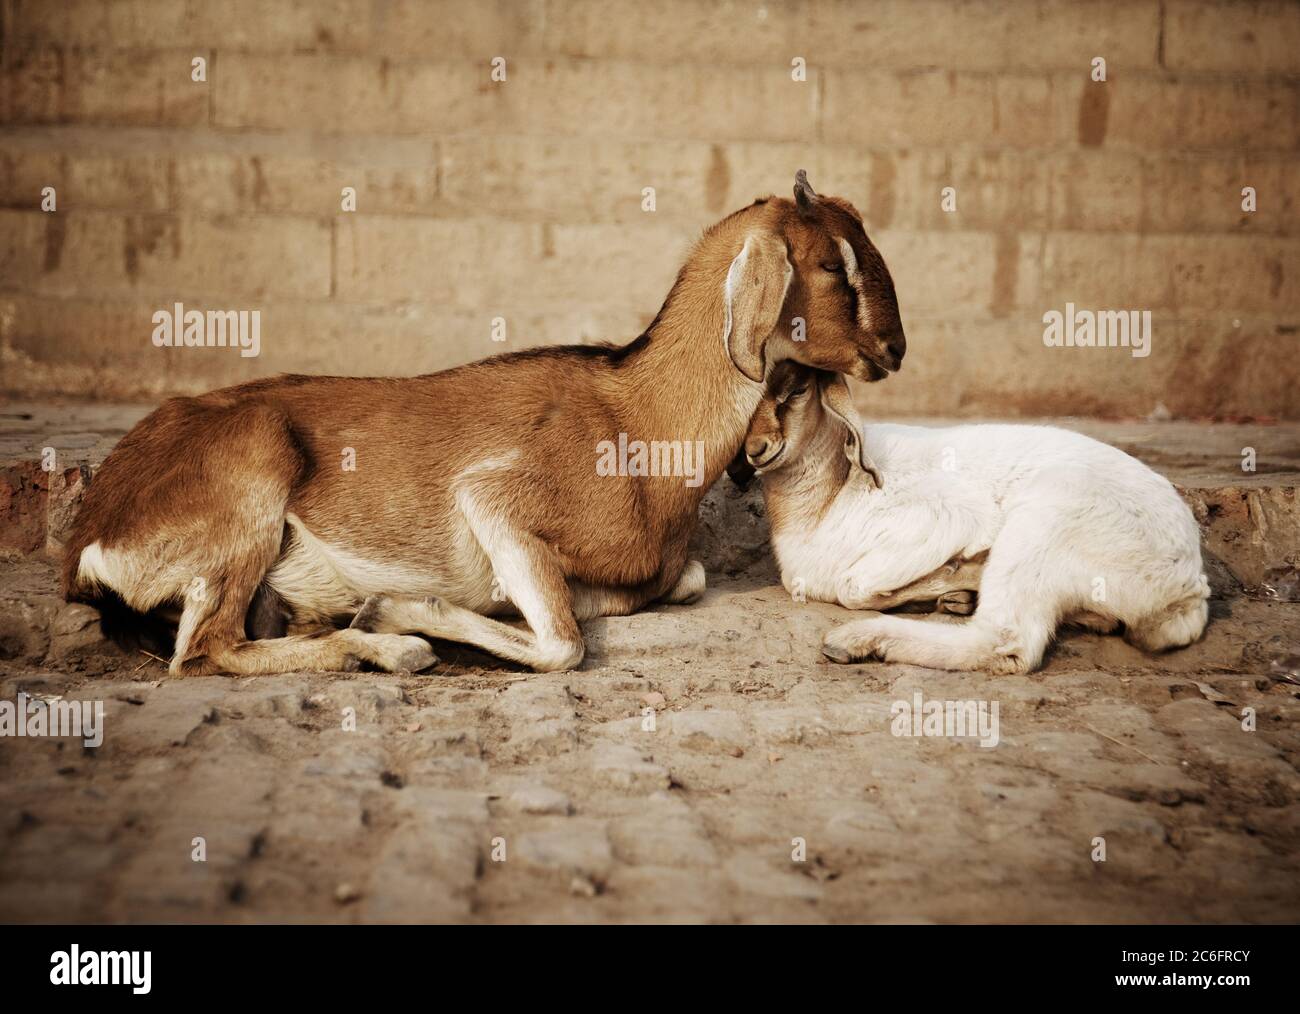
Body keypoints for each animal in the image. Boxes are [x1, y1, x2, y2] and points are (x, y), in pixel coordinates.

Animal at [63, 173, 907, 676]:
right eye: (832, 264)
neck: (639, 417)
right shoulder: (494, 498)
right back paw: (392, 647)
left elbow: (681, 581)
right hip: (252, 484)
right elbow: (563, 645)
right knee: (207, 652)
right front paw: (407, 609)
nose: (895, 348)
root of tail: (95, 528)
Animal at [734, 362, 1209, 674]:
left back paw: (860, 639)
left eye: (797, 390)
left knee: (1005, 642)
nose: (756, 449)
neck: (831, 494)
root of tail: (1189, 587)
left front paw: (956, 573)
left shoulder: (948, 514)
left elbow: (854, 587)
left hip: (1047, 518)